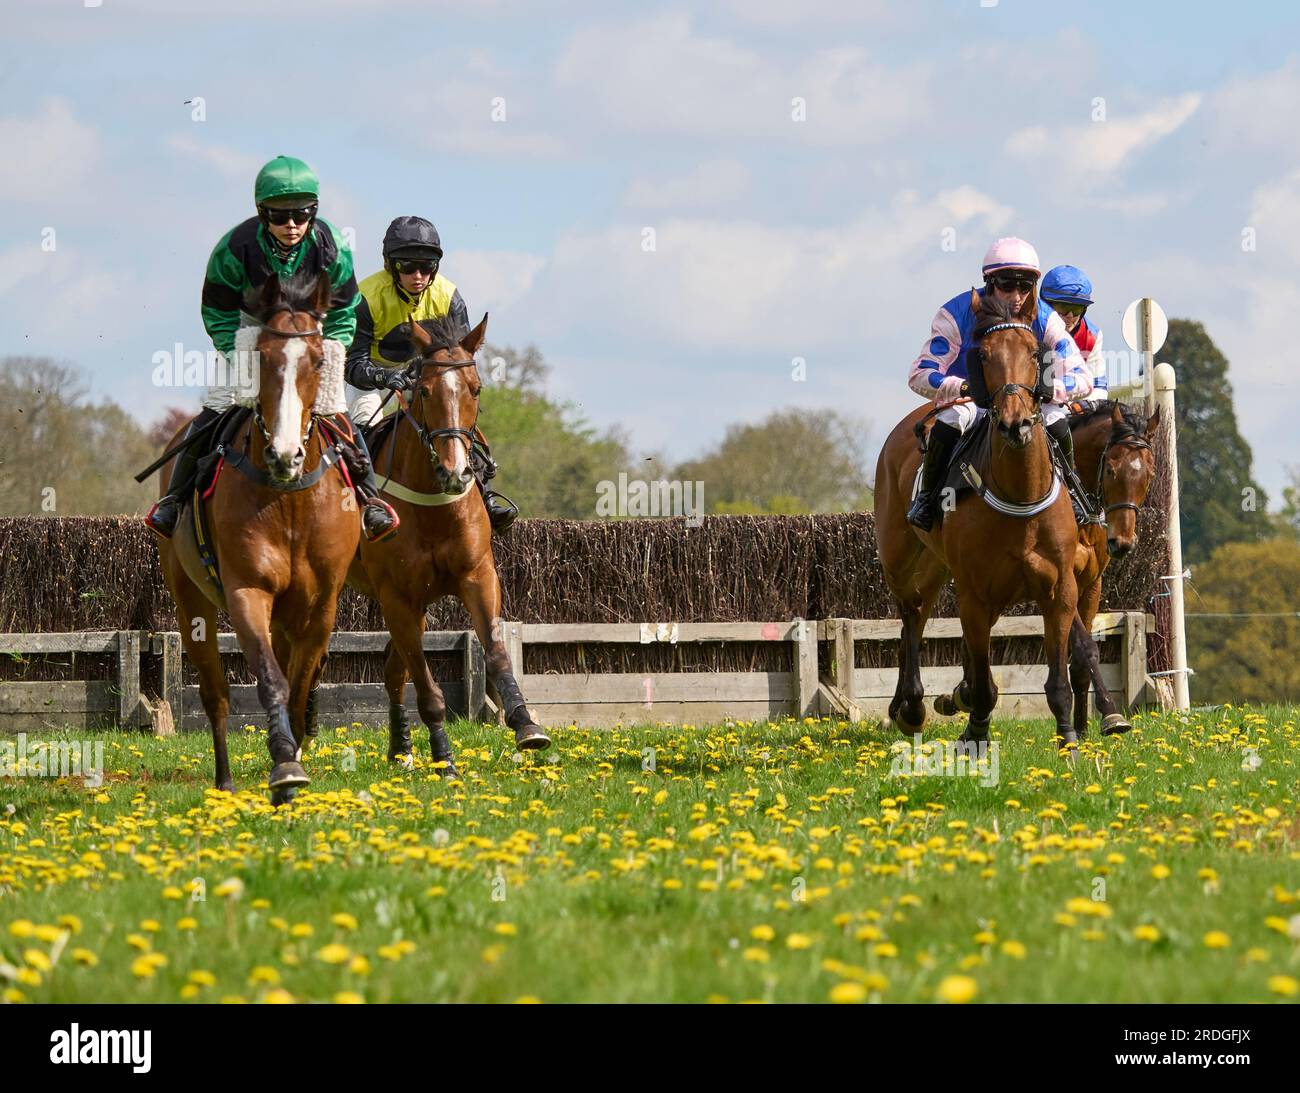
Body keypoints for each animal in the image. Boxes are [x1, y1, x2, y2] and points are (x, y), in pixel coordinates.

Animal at [154, 272, 360, 804]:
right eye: (260, 358)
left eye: (319, 360)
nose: (284, 455)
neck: (289, 502)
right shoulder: (247, 591)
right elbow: (271, 681)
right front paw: (285, 766)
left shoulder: (319, 605)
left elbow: (300, 684)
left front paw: (292, 756)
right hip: (189, 601)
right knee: (215, 693)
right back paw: (225, 780)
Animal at [343, 311, 550, 778]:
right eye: (423, 390)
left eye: (476, 389)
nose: (457, 473)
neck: (434, 504)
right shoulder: (398, 597)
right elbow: (426, 684)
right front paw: (445, 758)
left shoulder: (477, 577)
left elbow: (495, 652)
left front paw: (526, 725)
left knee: (392, 670)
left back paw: (400, 750)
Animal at [875, 290, 1082, 749]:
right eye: (983, 355)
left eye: (1035, 352)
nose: (1015, 424)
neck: (1020, 494)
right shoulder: (973, 592)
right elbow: (985, 684)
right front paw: (976, 736)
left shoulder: (1060, 590)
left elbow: (1058, 682)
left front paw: (1069, 742)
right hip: (899, 557)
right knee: (911, 613)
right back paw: (910, 706)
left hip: (939, 566)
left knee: (920, 612)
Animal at [1063, 400, 1161, 739]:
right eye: (1110, 470)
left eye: (1150, 473)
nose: (1122, 542)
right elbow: (1085, 646)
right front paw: (1110, 713)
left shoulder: (1091, 585)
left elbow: (1079, 662)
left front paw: (1081, 729)